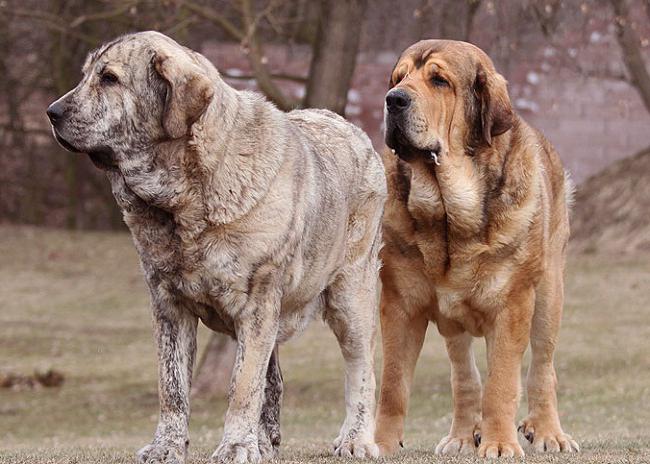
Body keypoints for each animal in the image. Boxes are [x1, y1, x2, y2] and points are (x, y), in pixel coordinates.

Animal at [49, 30, 384, 462]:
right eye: (86, 74)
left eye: (109, 79)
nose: (52, 111)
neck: (185, 197)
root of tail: (355, 130)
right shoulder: (169, 306)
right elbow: (172, 387)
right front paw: (167, 446)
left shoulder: (257, 304)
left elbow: (242, 385)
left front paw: (236, 445)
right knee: (273, 379)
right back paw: (266, 443)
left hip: (350, 296)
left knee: (362, 368)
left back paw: (355, 439)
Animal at [372, 40, 576, 460]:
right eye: (399, 77)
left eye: (439, 80)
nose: (393, 98)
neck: (449, 216)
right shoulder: (400, 305)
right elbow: (394, 384)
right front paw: (380, 444)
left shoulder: (513, 306)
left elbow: (503, 383)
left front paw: (500, 444)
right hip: (454, 325)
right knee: (464, 376)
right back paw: (464, 436)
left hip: (549, 296)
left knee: (542, 367)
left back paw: (549, 432)